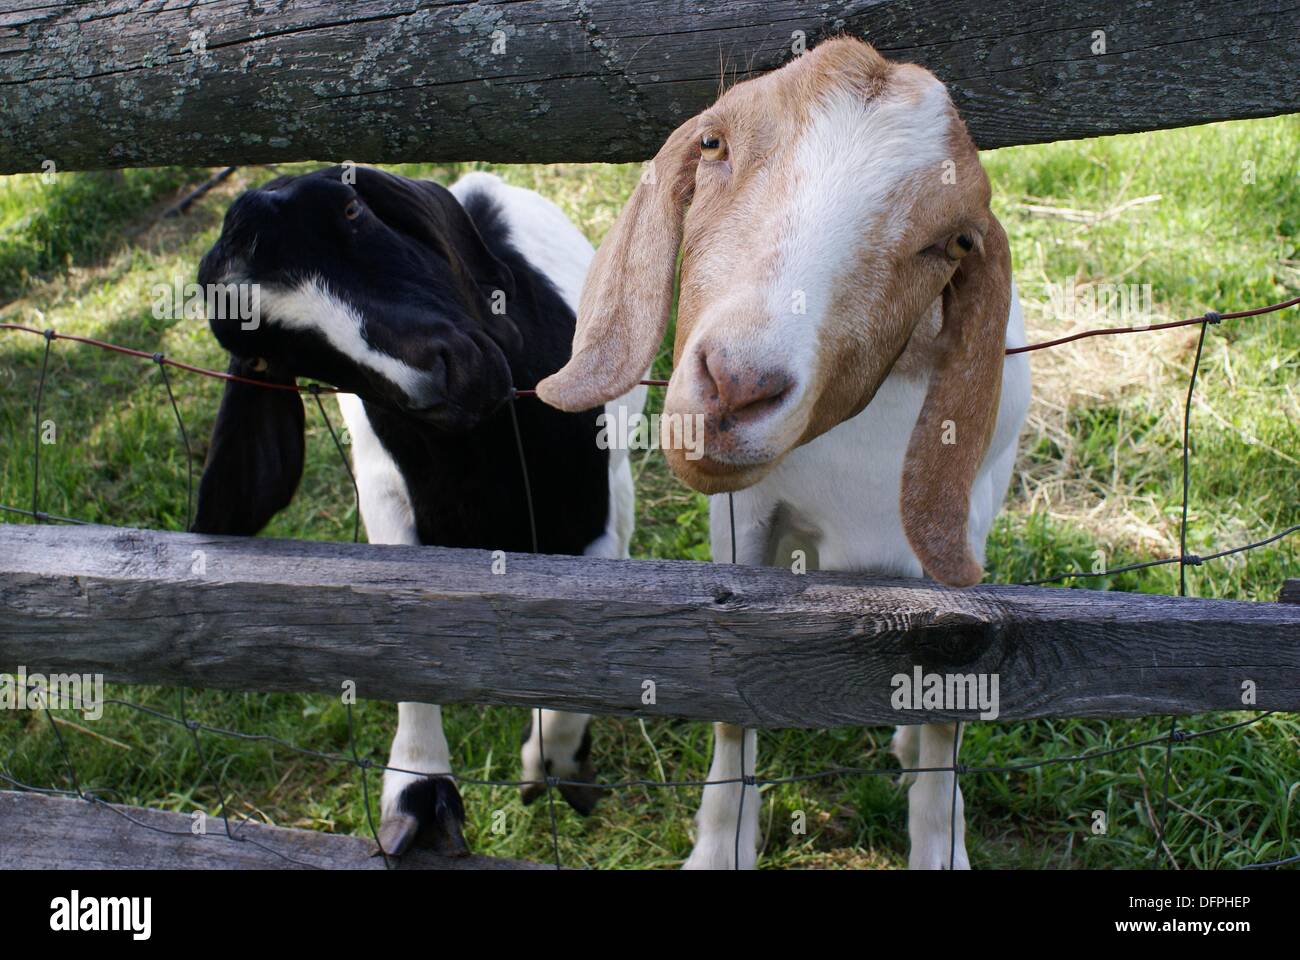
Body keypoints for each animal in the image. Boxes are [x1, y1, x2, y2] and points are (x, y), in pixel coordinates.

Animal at [191, 165, 645, 856]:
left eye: (352, 211)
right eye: (273, 352)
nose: (440, 380)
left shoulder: (604, 511)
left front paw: (556, 762)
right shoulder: (387, 498)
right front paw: (418, 790)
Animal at [538, 37, 1032, 869]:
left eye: (953, 242)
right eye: (714, 143)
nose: (736, 384)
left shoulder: (961, 537)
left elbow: (950, 698)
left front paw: (942, 843)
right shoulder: (746, 520)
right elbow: (731, 678)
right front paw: (720, 847)